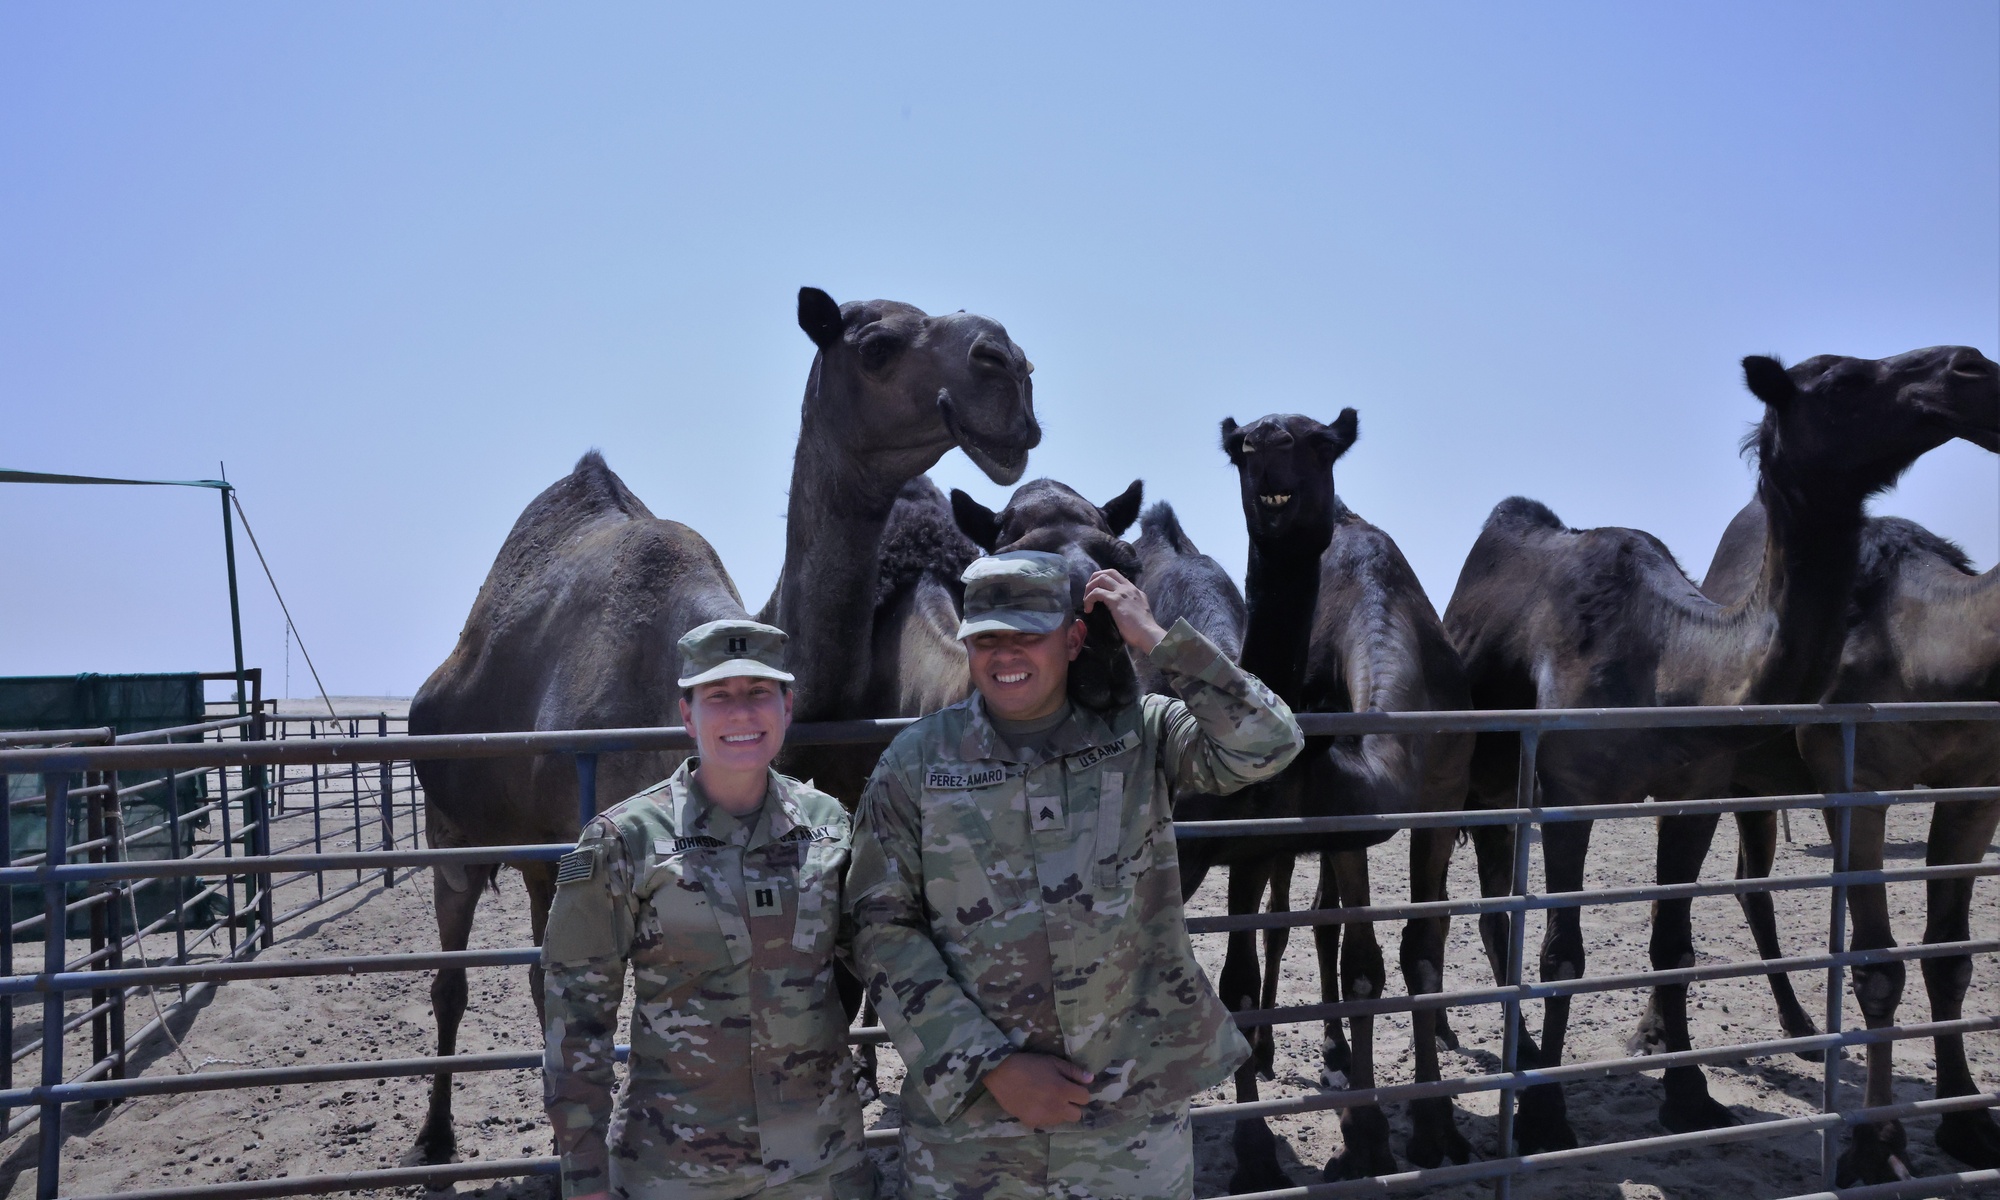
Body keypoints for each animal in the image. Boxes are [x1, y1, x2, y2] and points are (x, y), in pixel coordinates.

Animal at [404, 288, 1039, 1165]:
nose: (1007, 364)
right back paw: (435, 1138)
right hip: (450, 826)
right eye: (875, 345)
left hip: (530, 855)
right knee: (454, 977)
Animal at [1217, 410, 1475, 1186]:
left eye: (1318, 443)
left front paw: (1436, 1128)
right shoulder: (1342, 824)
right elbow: (1363, 967)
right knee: (1302, 925)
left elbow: (1423, 952)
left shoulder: (1440, 802)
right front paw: (1365, 1141)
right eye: (1242, 447)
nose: (1267, 445)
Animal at [1700, 499, 2000, 1183]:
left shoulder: (1977, 788)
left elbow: (1951, 956)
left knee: (1750, 883)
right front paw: (1875, 1145)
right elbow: (1878, 967)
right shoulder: (1852, 777)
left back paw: (1801, 1026)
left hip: (1757, 786)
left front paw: (1968, 1121)